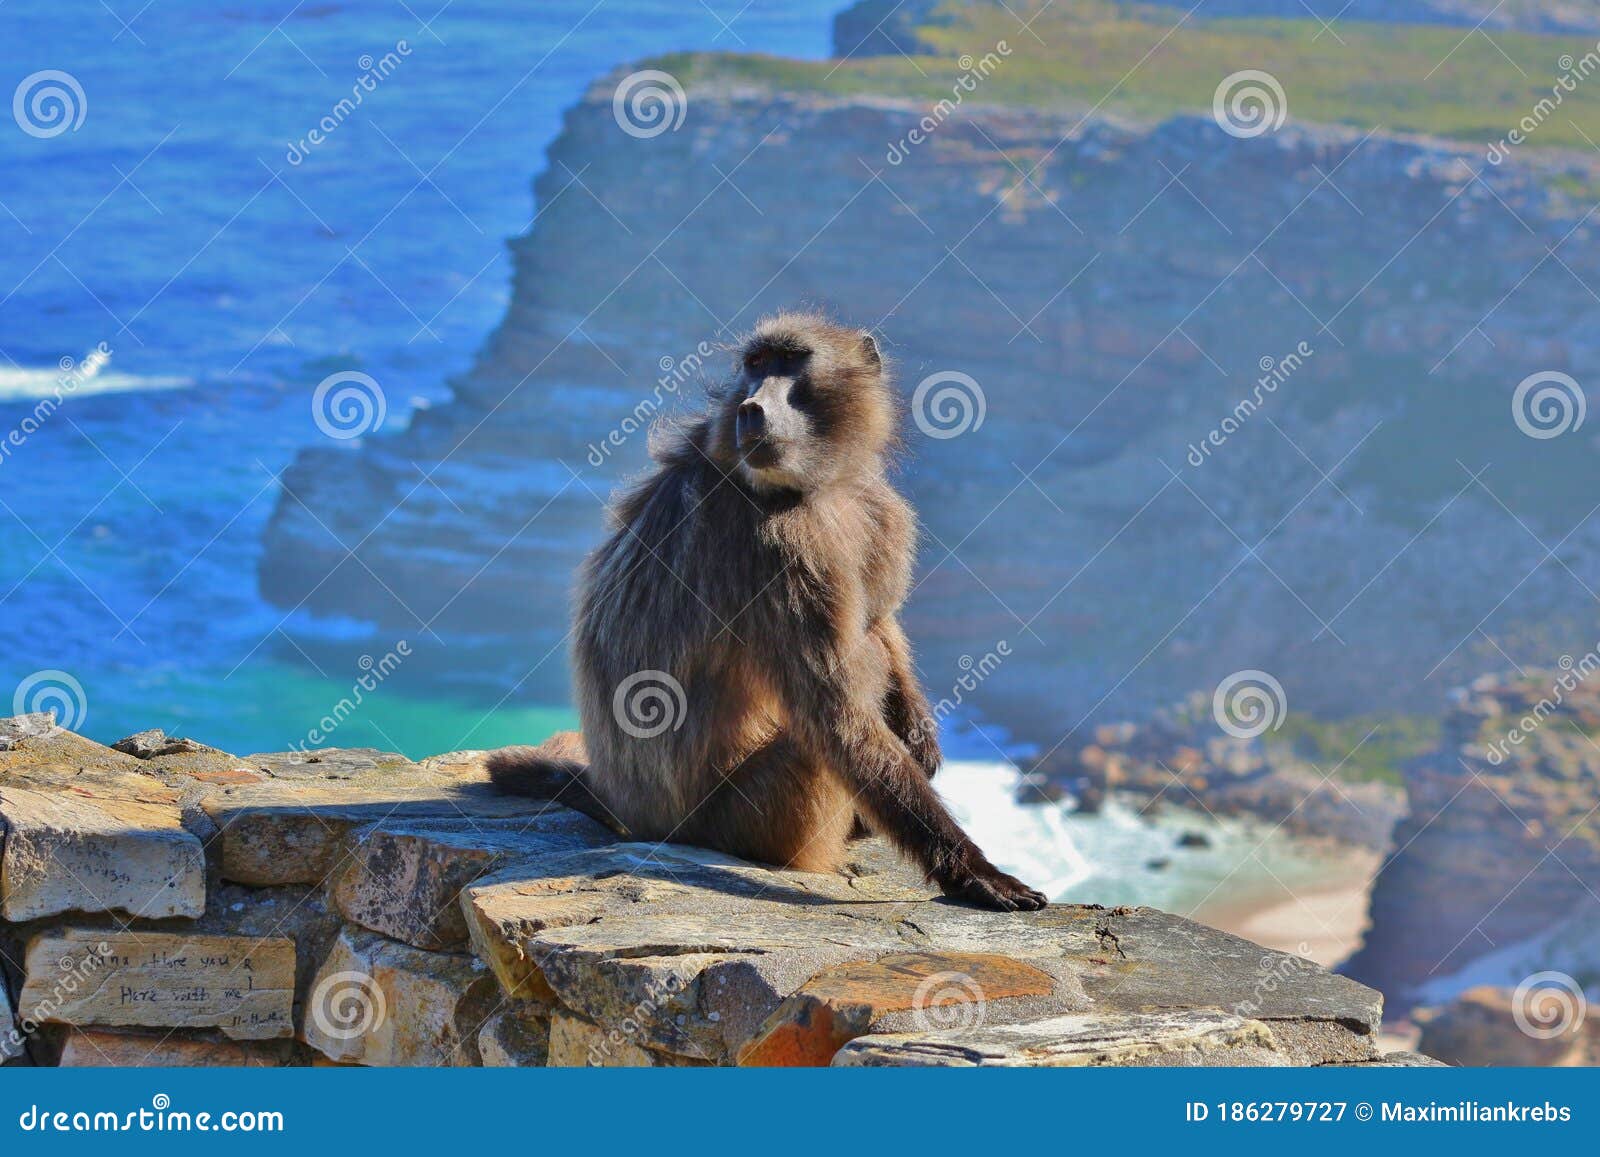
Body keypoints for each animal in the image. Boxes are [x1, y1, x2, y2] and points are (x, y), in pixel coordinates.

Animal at [489, 311, 1047, 912]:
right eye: (754, 365)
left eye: (789, 361)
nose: (752, 408)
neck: (817, 486)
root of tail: (631, 812)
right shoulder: (778, 547)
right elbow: (834, 712)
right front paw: (974, 873)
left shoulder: (876, 505)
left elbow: (878, 622)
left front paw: (921, 732)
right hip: (742, 818)